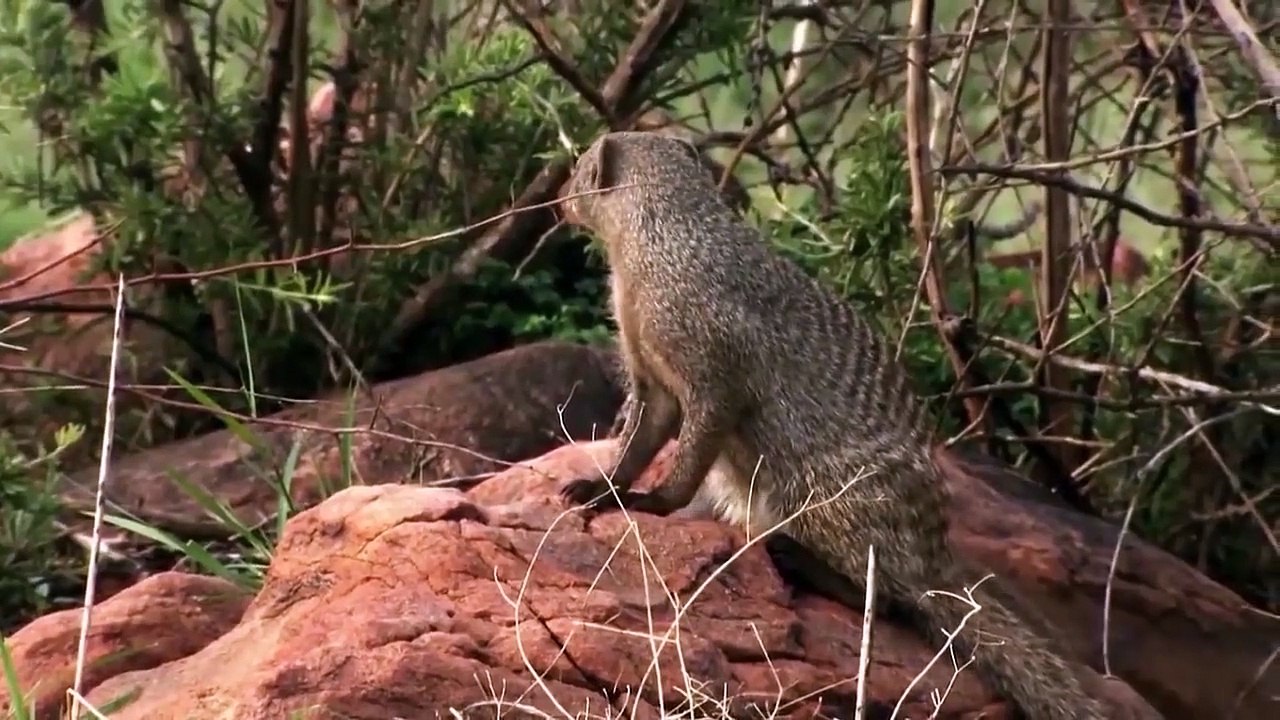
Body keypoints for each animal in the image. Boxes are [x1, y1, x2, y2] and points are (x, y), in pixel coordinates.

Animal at [555, 130, 1125, 720]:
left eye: (576, 171)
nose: (557, 200)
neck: (655, 252)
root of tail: (936, 555)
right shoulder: (649, 370)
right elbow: (641, 438)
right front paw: (602, 488)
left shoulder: (714, 362)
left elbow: (697, 441)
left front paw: (654, 501)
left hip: (829, 491)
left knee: (892, 597)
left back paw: (796, 558)